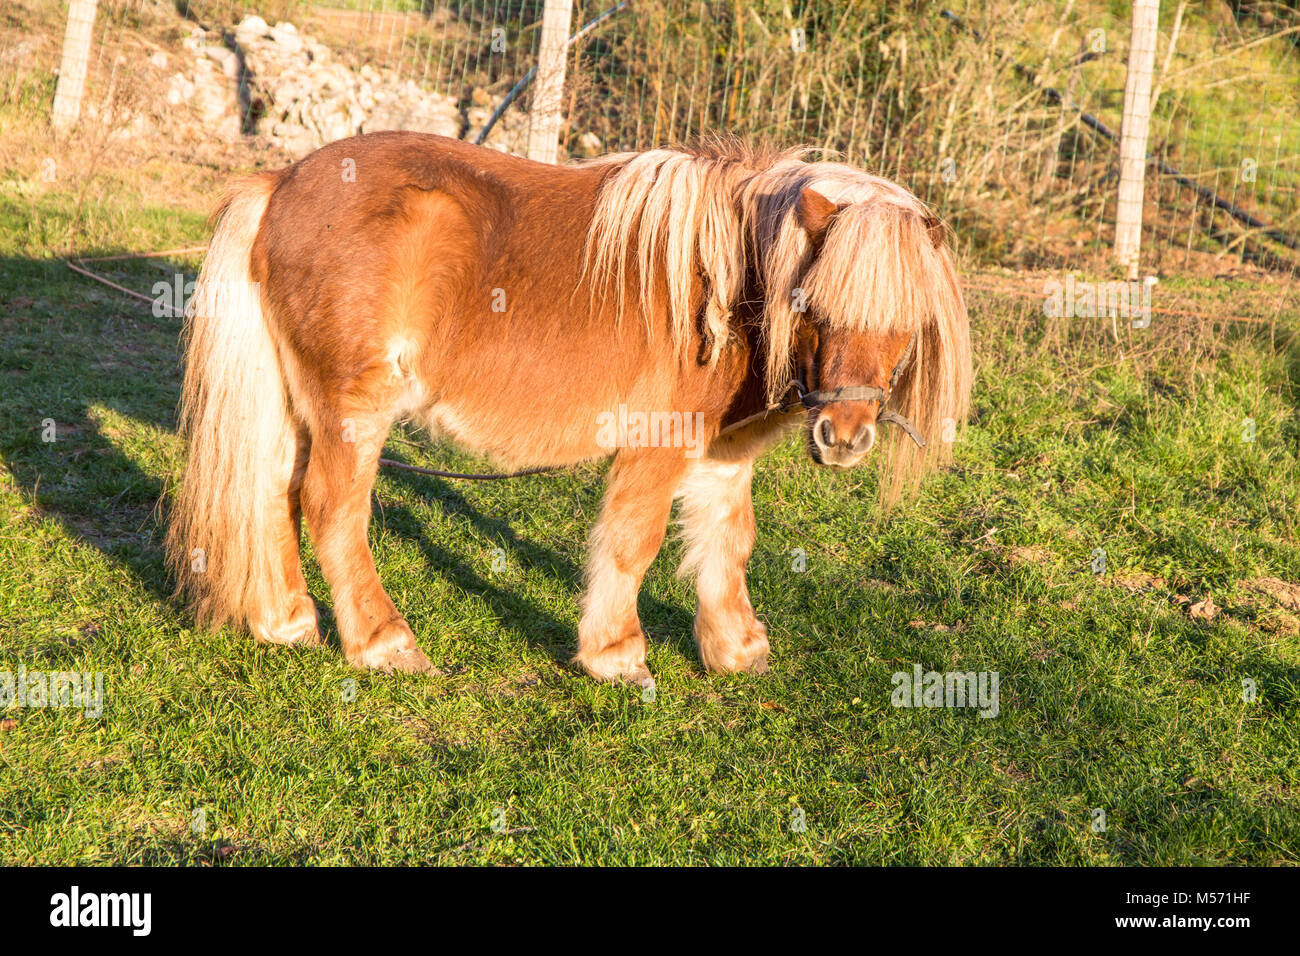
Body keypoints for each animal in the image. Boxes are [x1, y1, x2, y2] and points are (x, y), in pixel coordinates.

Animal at [166, 131, 971, 685]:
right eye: (815, 304)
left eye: (907, 323)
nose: (844, 436)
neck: (726, 285)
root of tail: (282, 182)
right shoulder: (657, 445)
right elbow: (634, 543)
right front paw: (615, 654)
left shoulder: (723, 453)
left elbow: (729, 540)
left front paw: (736, 648)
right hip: (352, 408)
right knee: (332, 506)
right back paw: (383, 643)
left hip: (297, 406)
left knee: (273, 490)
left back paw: (286, 622)